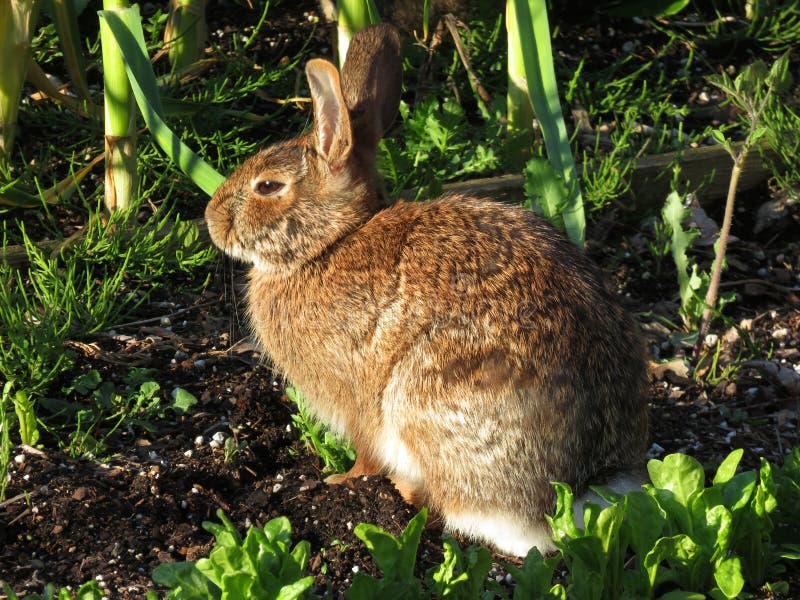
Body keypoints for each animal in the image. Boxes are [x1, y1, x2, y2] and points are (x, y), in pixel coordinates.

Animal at [205, 23, 649, 557]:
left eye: (268, 187)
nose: (210, 220)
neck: (330, 243)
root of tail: (578, 490)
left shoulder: (356, 402)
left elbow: (365, 453)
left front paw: (341, 481)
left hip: (426, 403)